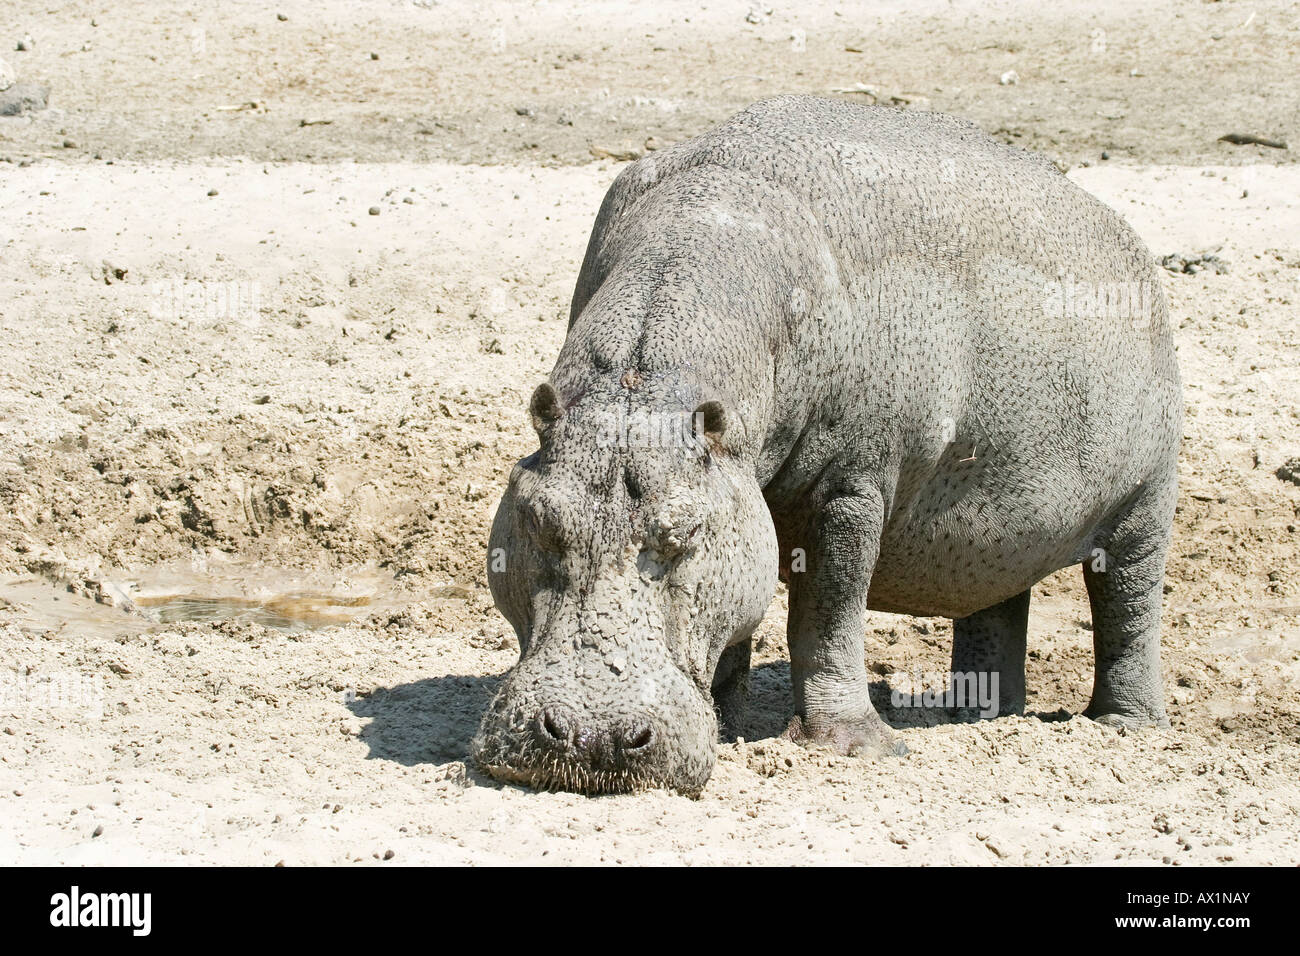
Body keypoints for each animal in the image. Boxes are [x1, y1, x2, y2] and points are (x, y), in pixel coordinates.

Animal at [472, 95, 1182, 796]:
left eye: (684, 536)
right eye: (537, 518)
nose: (588, 737)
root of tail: (1129, 242)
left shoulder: (850, 484)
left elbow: (828, 609)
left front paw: (855, 745)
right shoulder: (738, 487)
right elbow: (741, 617)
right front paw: (726, 724)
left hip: (1146, 504)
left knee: (1129, 606)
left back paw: (1124, 726)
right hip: (1001, 519)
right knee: (995, 606)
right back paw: (975, 718)